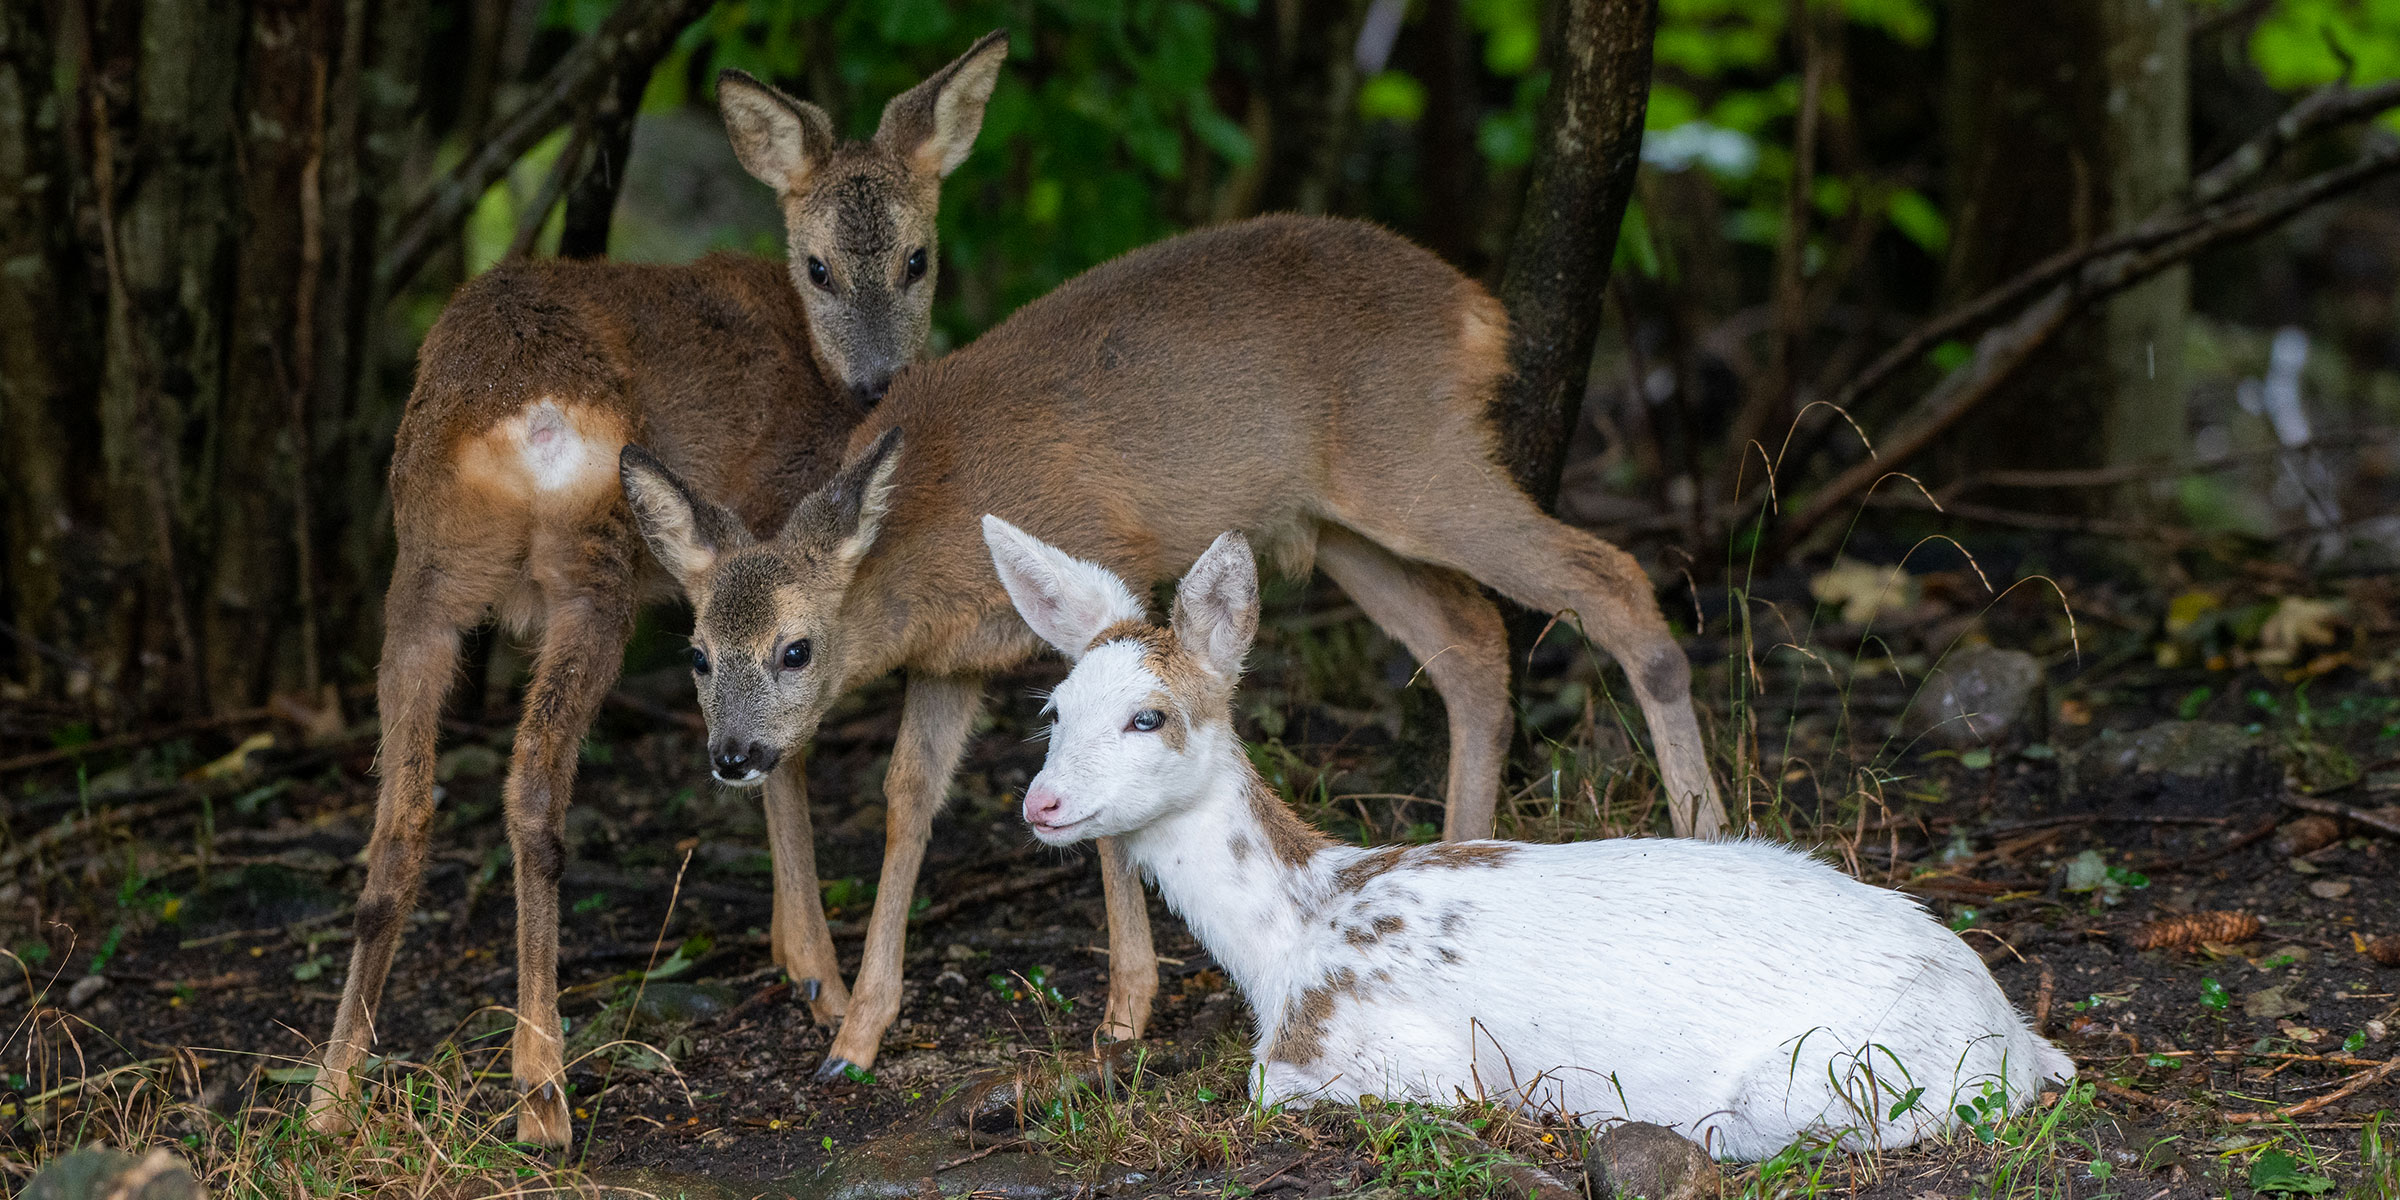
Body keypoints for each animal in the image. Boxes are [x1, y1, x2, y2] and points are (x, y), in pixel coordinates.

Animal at [306, 31, 1010, 1149]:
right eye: (818, 265)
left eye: (918, 257)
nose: (878, 384)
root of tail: (509, 410)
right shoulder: (764, 541)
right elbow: (783, 747)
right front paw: (816, 976)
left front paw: (798, 958)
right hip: (589, 575)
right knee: (531, 790)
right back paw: (542, 1092)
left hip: (422, 576)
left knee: (403, 810)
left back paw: (332, 1095)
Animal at [617, 212, 1736, 1083]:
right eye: (698, 656)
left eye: (797, 649)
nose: (735, 756)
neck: (928, 530)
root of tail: (1478, 310)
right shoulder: (951, 664)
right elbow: (907, 801)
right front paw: (854, 1034)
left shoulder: (1113, 560)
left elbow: (1112, 812)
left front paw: (1125, 1012)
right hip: (1339, 523)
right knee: (1467, 640)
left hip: (1417, 466)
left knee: (1609, 576)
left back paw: (1707, 822)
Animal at [983, 519, 2076, 1159]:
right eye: (1053, 708)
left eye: (1150, 718)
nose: (1042, 805)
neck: (1291, 934)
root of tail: (2010, 1040)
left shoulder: (1367, 1052)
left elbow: (1279, 1086)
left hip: (1822, 1083)